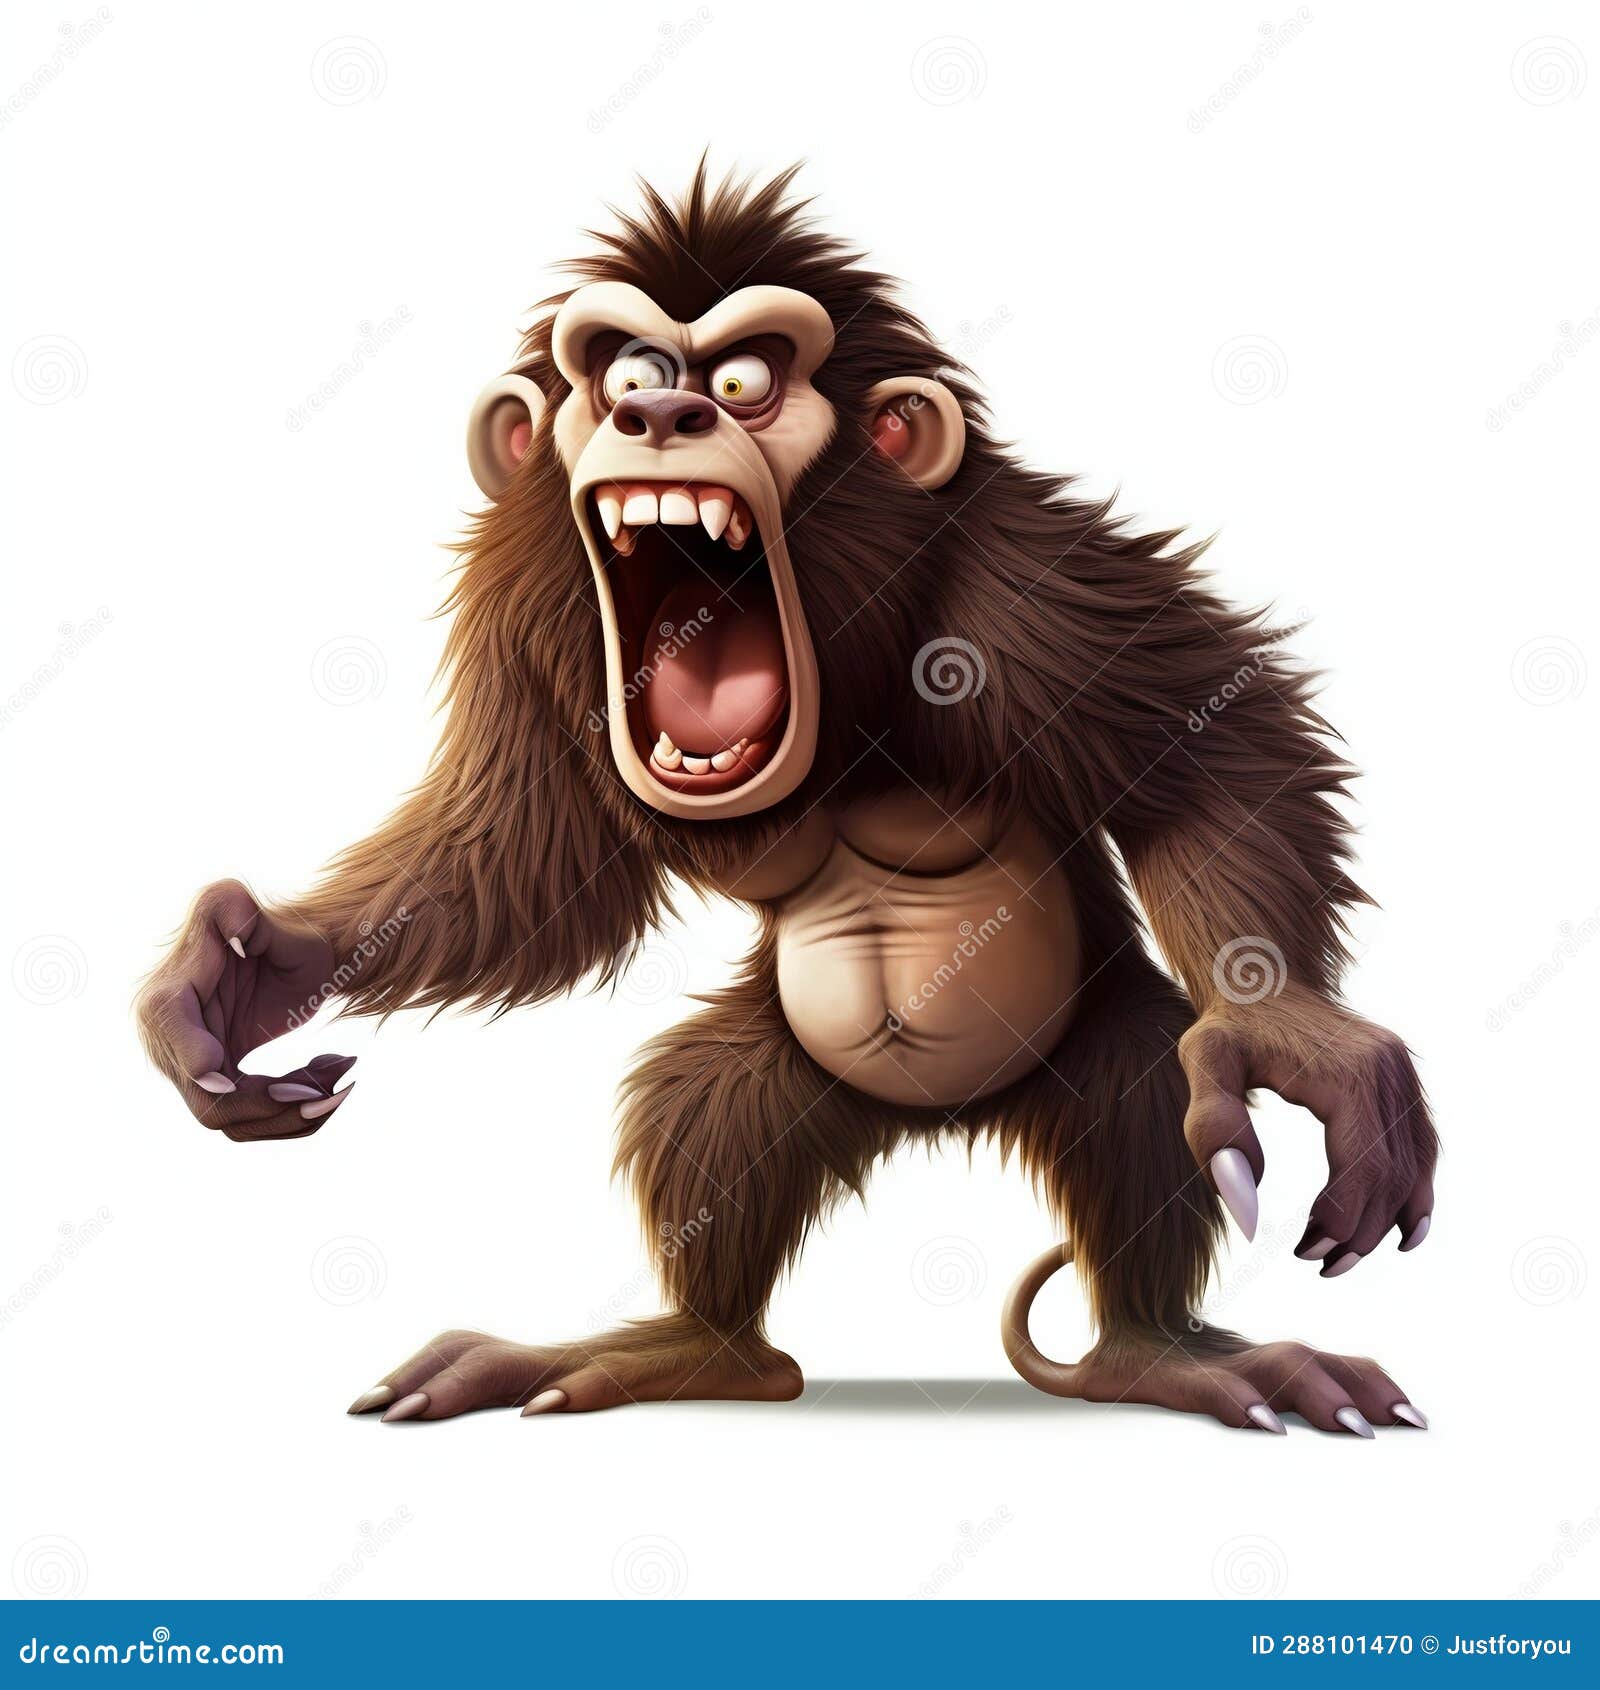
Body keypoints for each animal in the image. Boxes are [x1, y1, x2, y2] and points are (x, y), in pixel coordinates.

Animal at [137, 165, 1437, 1435]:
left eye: (744, 382)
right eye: (623, 375)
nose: (661, 415)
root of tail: (942, 1119)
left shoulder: (1025, 593)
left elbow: (1207, 756)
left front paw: (1290, 1031)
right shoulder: (527, 637)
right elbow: (520, 869)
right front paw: (253, 968)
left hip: (1087, 1037)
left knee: (1138, 1092)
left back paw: (1156, 1353)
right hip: (793, 1070)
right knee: (708, 1107)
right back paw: (682, 1348)